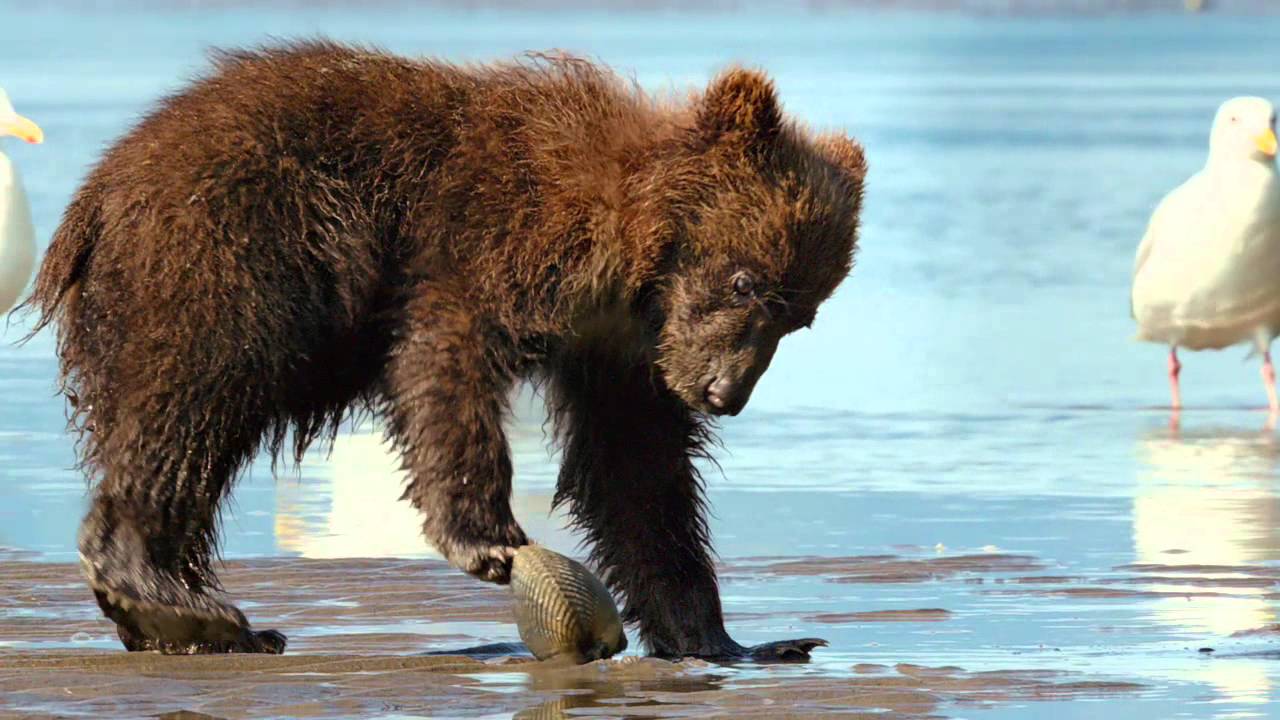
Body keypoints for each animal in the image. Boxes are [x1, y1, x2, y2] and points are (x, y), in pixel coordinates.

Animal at [25, 41, 866, 660]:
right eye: (745, 282)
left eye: (800, 318)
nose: (723, 393)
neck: (624, 250)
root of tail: (96, 194)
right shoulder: (492, 235)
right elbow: (446, 358)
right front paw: (487, 538)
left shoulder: (621, 355)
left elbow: (639, 476)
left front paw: (728, 639)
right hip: (229, 254)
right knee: (194, 400)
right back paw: (176, 600)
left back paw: (186, 619)